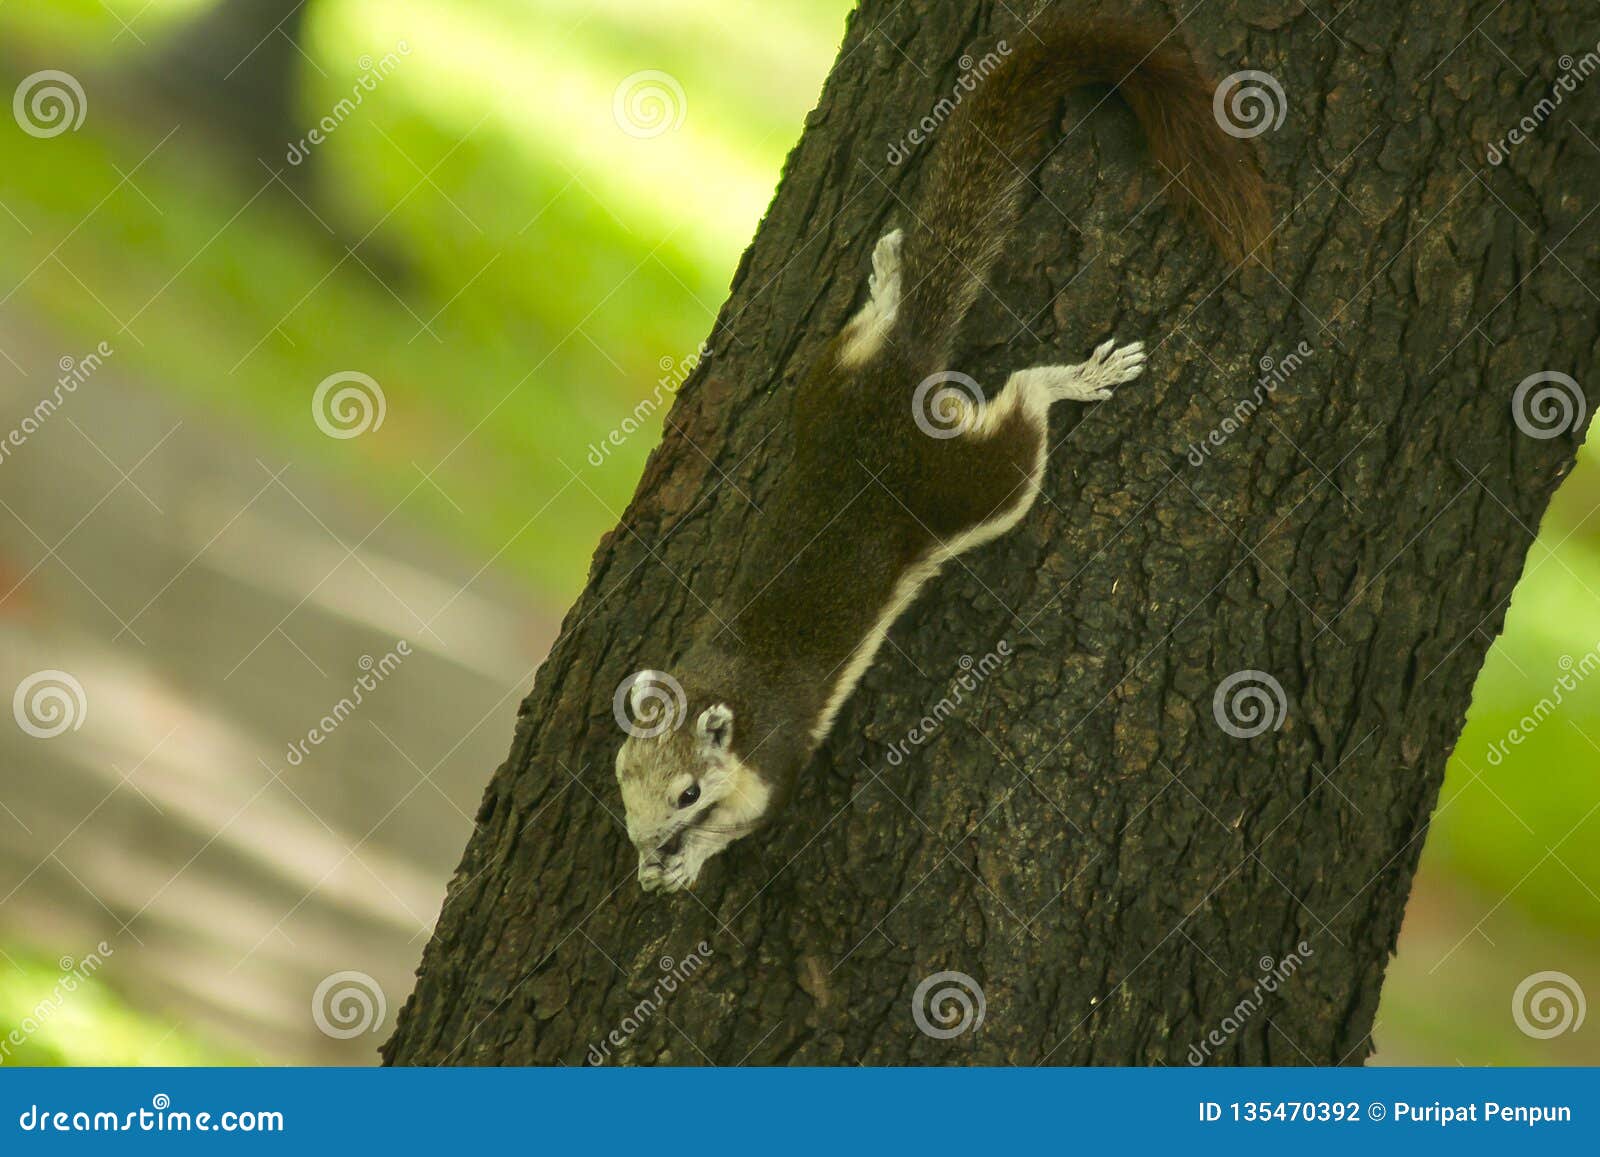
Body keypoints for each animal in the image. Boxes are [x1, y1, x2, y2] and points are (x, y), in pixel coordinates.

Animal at [615, 17, 1271, 893]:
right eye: (625, 777)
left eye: (689, 790)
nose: (647, 840)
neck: (726, 682)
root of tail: (906, 376)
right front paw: (653, 864)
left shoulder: (774, 758)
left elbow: (751, 818)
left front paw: (685, 863)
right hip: (829, 384)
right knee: (876, 330)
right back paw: (894, 278)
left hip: (972, 487)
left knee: (1022, 407)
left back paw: (1077, 376)